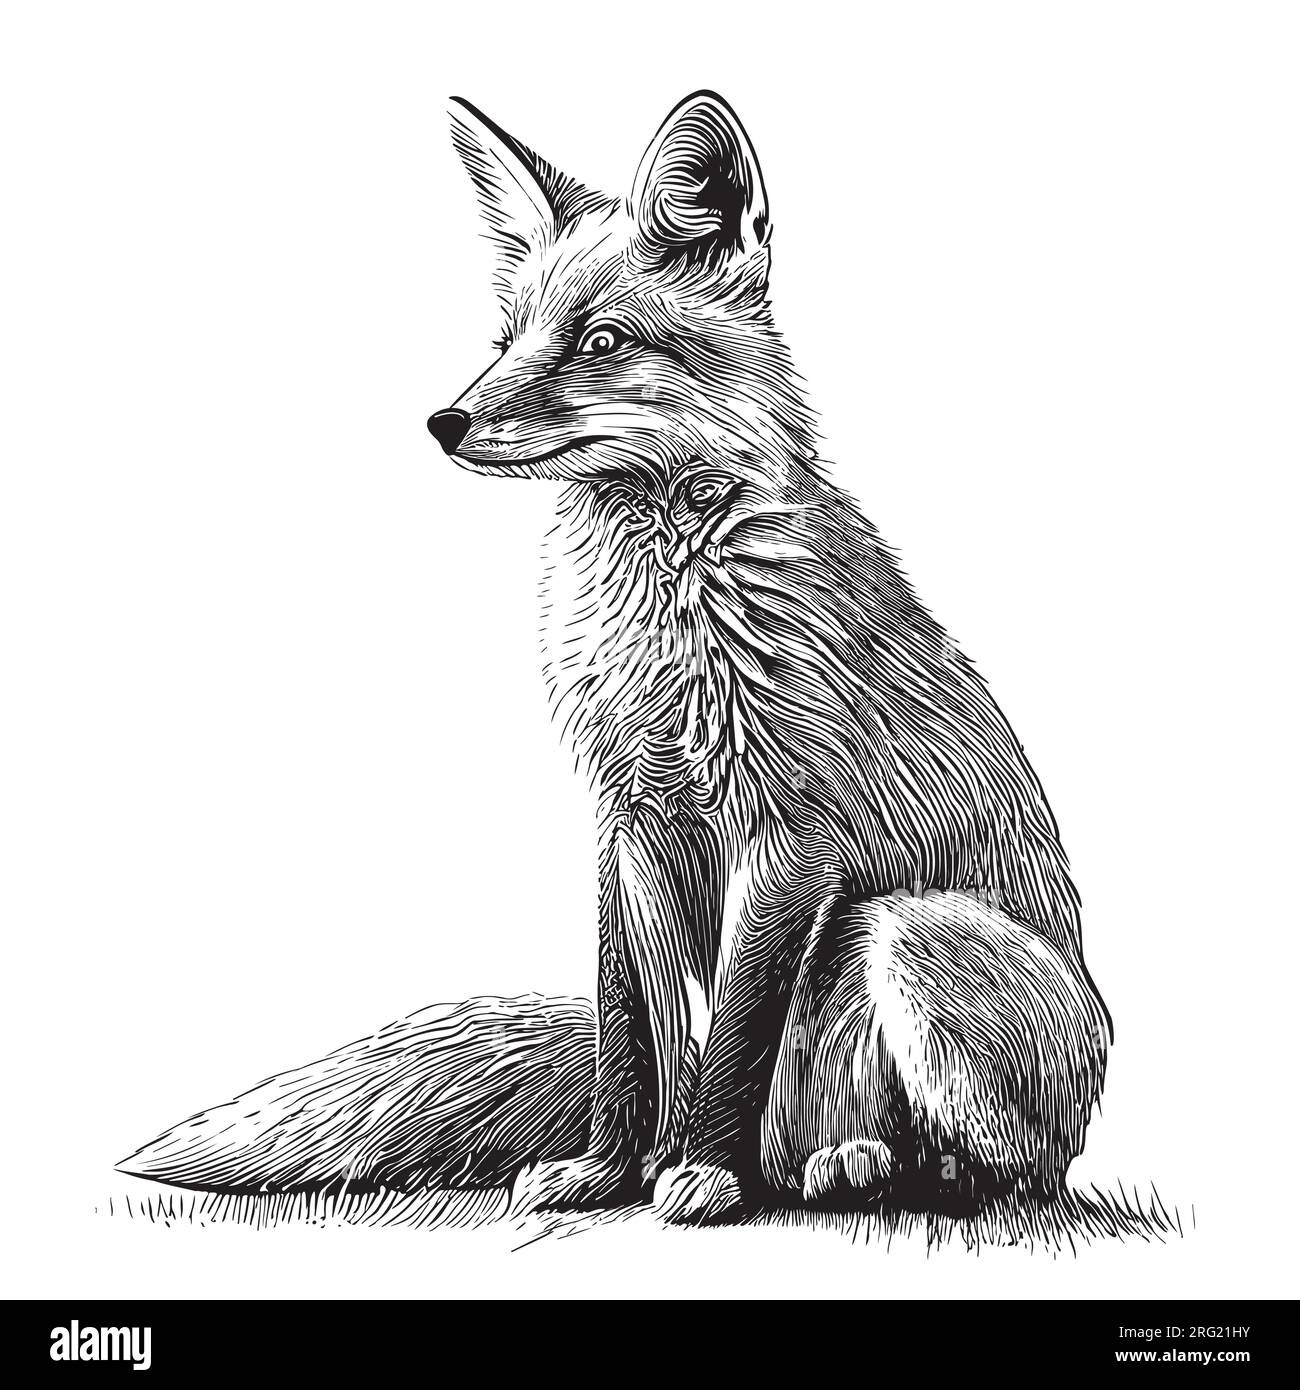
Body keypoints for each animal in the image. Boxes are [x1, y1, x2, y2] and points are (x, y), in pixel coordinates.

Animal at [123, 92, 1111, 1226]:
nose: (444, 420)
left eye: (599, 340)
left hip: (909, 930)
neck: (656, 609)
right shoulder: (622, 810)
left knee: (1021, 1169)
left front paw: (701, 1171)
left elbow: (730, 1034)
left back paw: (892, 1172)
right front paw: (611, 1168)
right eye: (505, 338)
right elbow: (632, 1023)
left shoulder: (786, 832)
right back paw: (832, 1161)